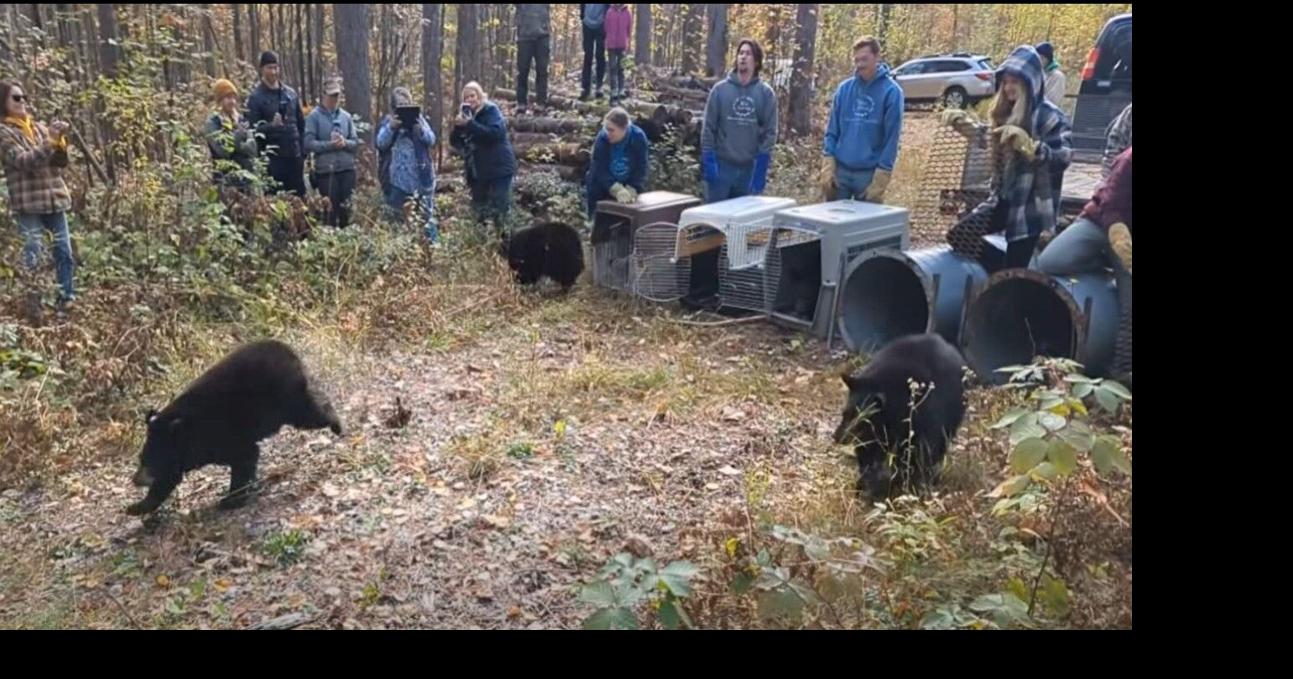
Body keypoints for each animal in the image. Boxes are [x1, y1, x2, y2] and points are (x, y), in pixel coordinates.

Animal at [126, 339, 343, 516]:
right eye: (141, 459)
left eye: (149, 462)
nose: (135, 480)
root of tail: (287, 350)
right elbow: (168, 480)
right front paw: (137, 507)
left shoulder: (220, 435)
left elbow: (244, 456)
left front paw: (231, 499)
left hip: (286, 397)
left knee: (311, 413)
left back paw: (337, 425)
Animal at [833, 333, 967, 500]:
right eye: (845, 413)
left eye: (859, 419)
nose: (836, 437)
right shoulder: (873, 435)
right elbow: (868, 456)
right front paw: (865, 486)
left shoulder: (924, 421)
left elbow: (919, 455)